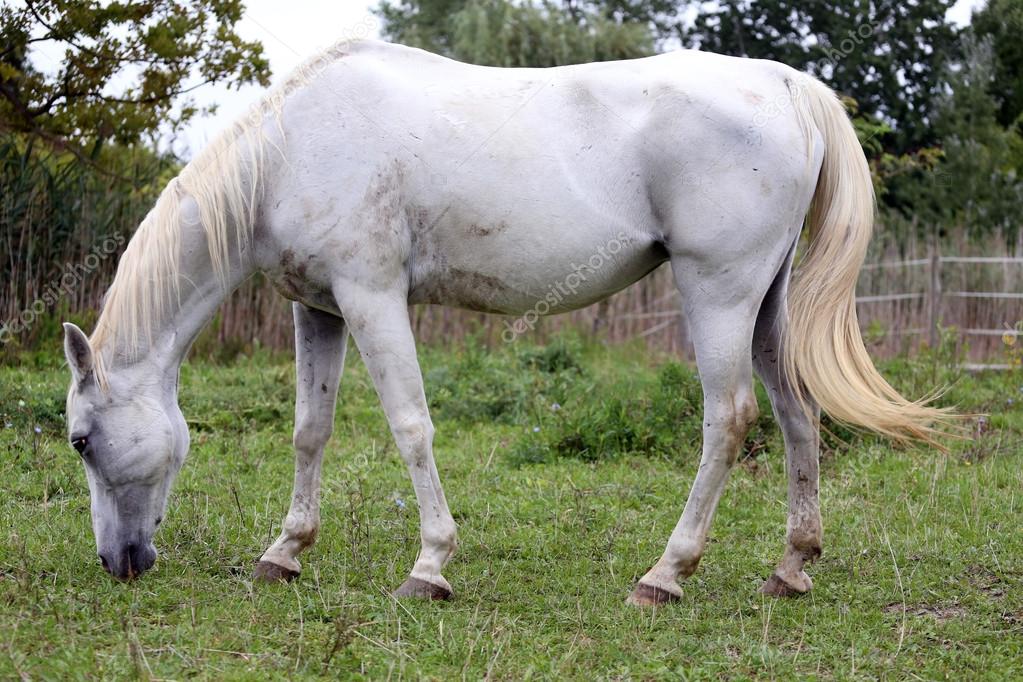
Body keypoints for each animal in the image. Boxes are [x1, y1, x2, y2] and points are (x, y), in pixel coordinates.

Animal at [62, 39, 949, 604]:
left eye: (79, 439)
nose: (117, 562)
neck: (289, 150)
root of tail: (784, 83)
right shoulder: (317, 309)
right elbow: (309, 432)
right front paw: (284, 554)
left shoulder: (371, 296)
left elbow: (409, 425)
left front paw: (429, 567)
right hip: (767, 305)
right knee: (798, 416)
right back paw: (790, 567)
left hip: (719, 294)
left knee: (726, 421)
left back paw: (664, 574)